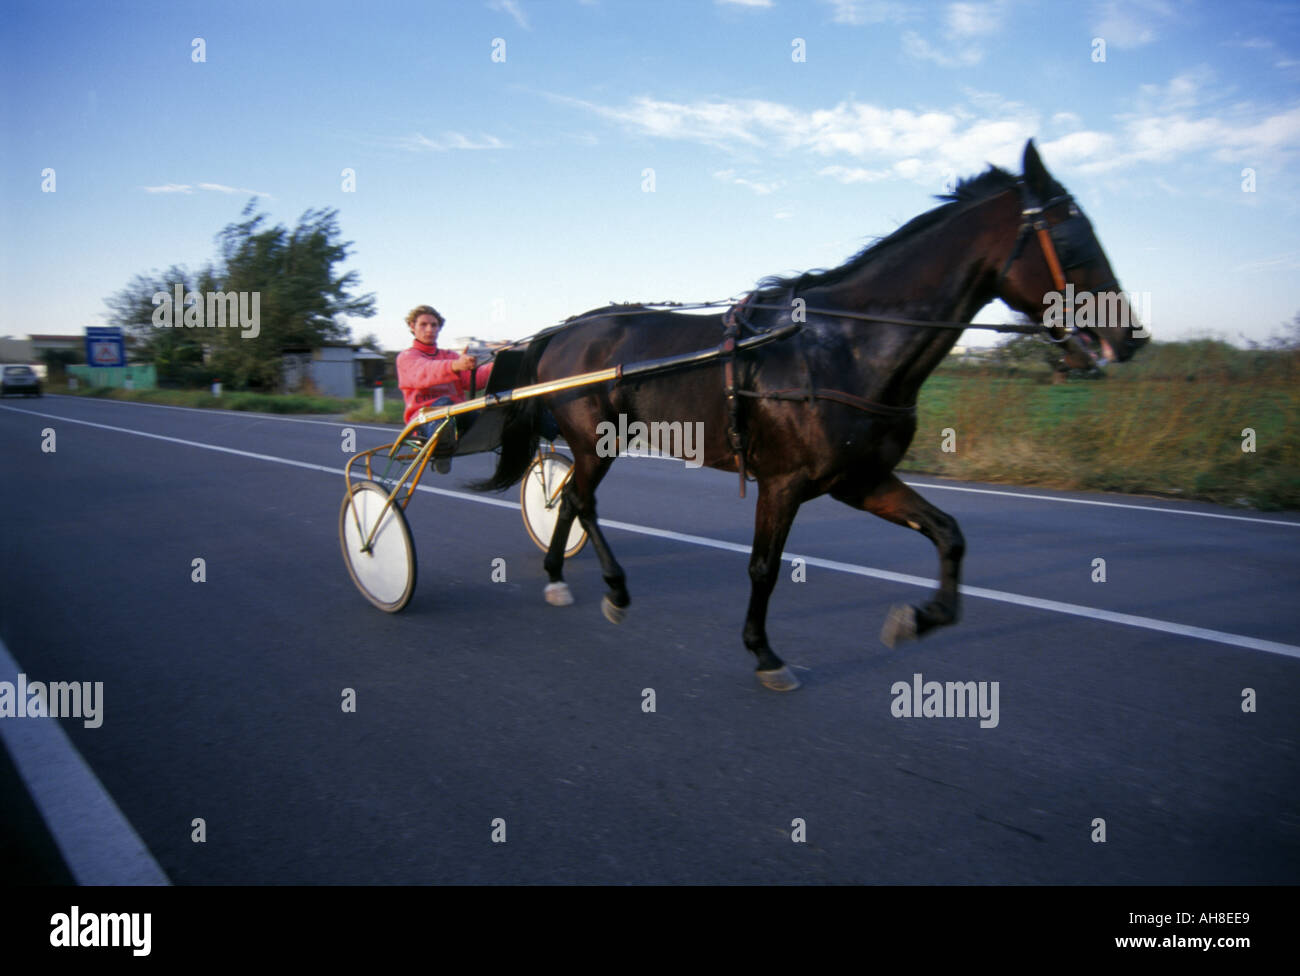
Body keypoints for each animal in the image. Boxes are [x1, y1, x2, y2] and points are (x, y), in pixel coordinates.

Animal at [474, 140, 1147, 691]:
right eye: (1073, 238)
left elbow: (948, 533)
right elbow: (764, 568)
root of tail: (561, 330)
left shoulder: (859, 479)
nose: (1131, 339)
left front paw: (920, 617)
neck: (845, 345)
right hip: (597, 438)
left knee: (570, 498)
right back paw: (614, 587)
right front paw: (764, 653)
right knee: (581, 499)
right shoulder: (785, 481)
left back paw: (558, 575)